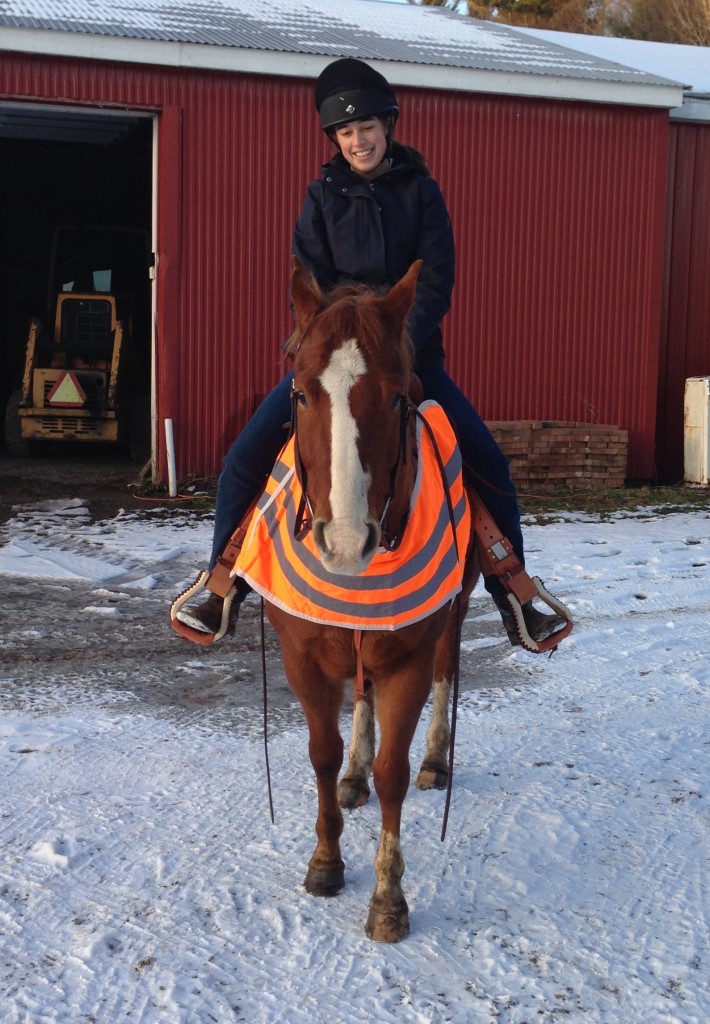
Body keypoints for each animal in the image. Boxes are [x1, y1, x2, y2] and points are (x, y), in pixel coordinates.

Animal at [236, 257, 479, 943]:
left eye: (396, 396)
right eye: (298, 393)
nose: (344, 542)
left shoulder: (408, 659)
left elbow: (395, 770)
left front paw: (388, 898)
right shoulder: (302, 659)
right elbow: (320, 755)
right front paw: (324, 860)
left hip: (453, 614)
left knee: (446, 676)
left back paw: (436, 761)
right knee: (360, 703)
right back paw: (354, 775)